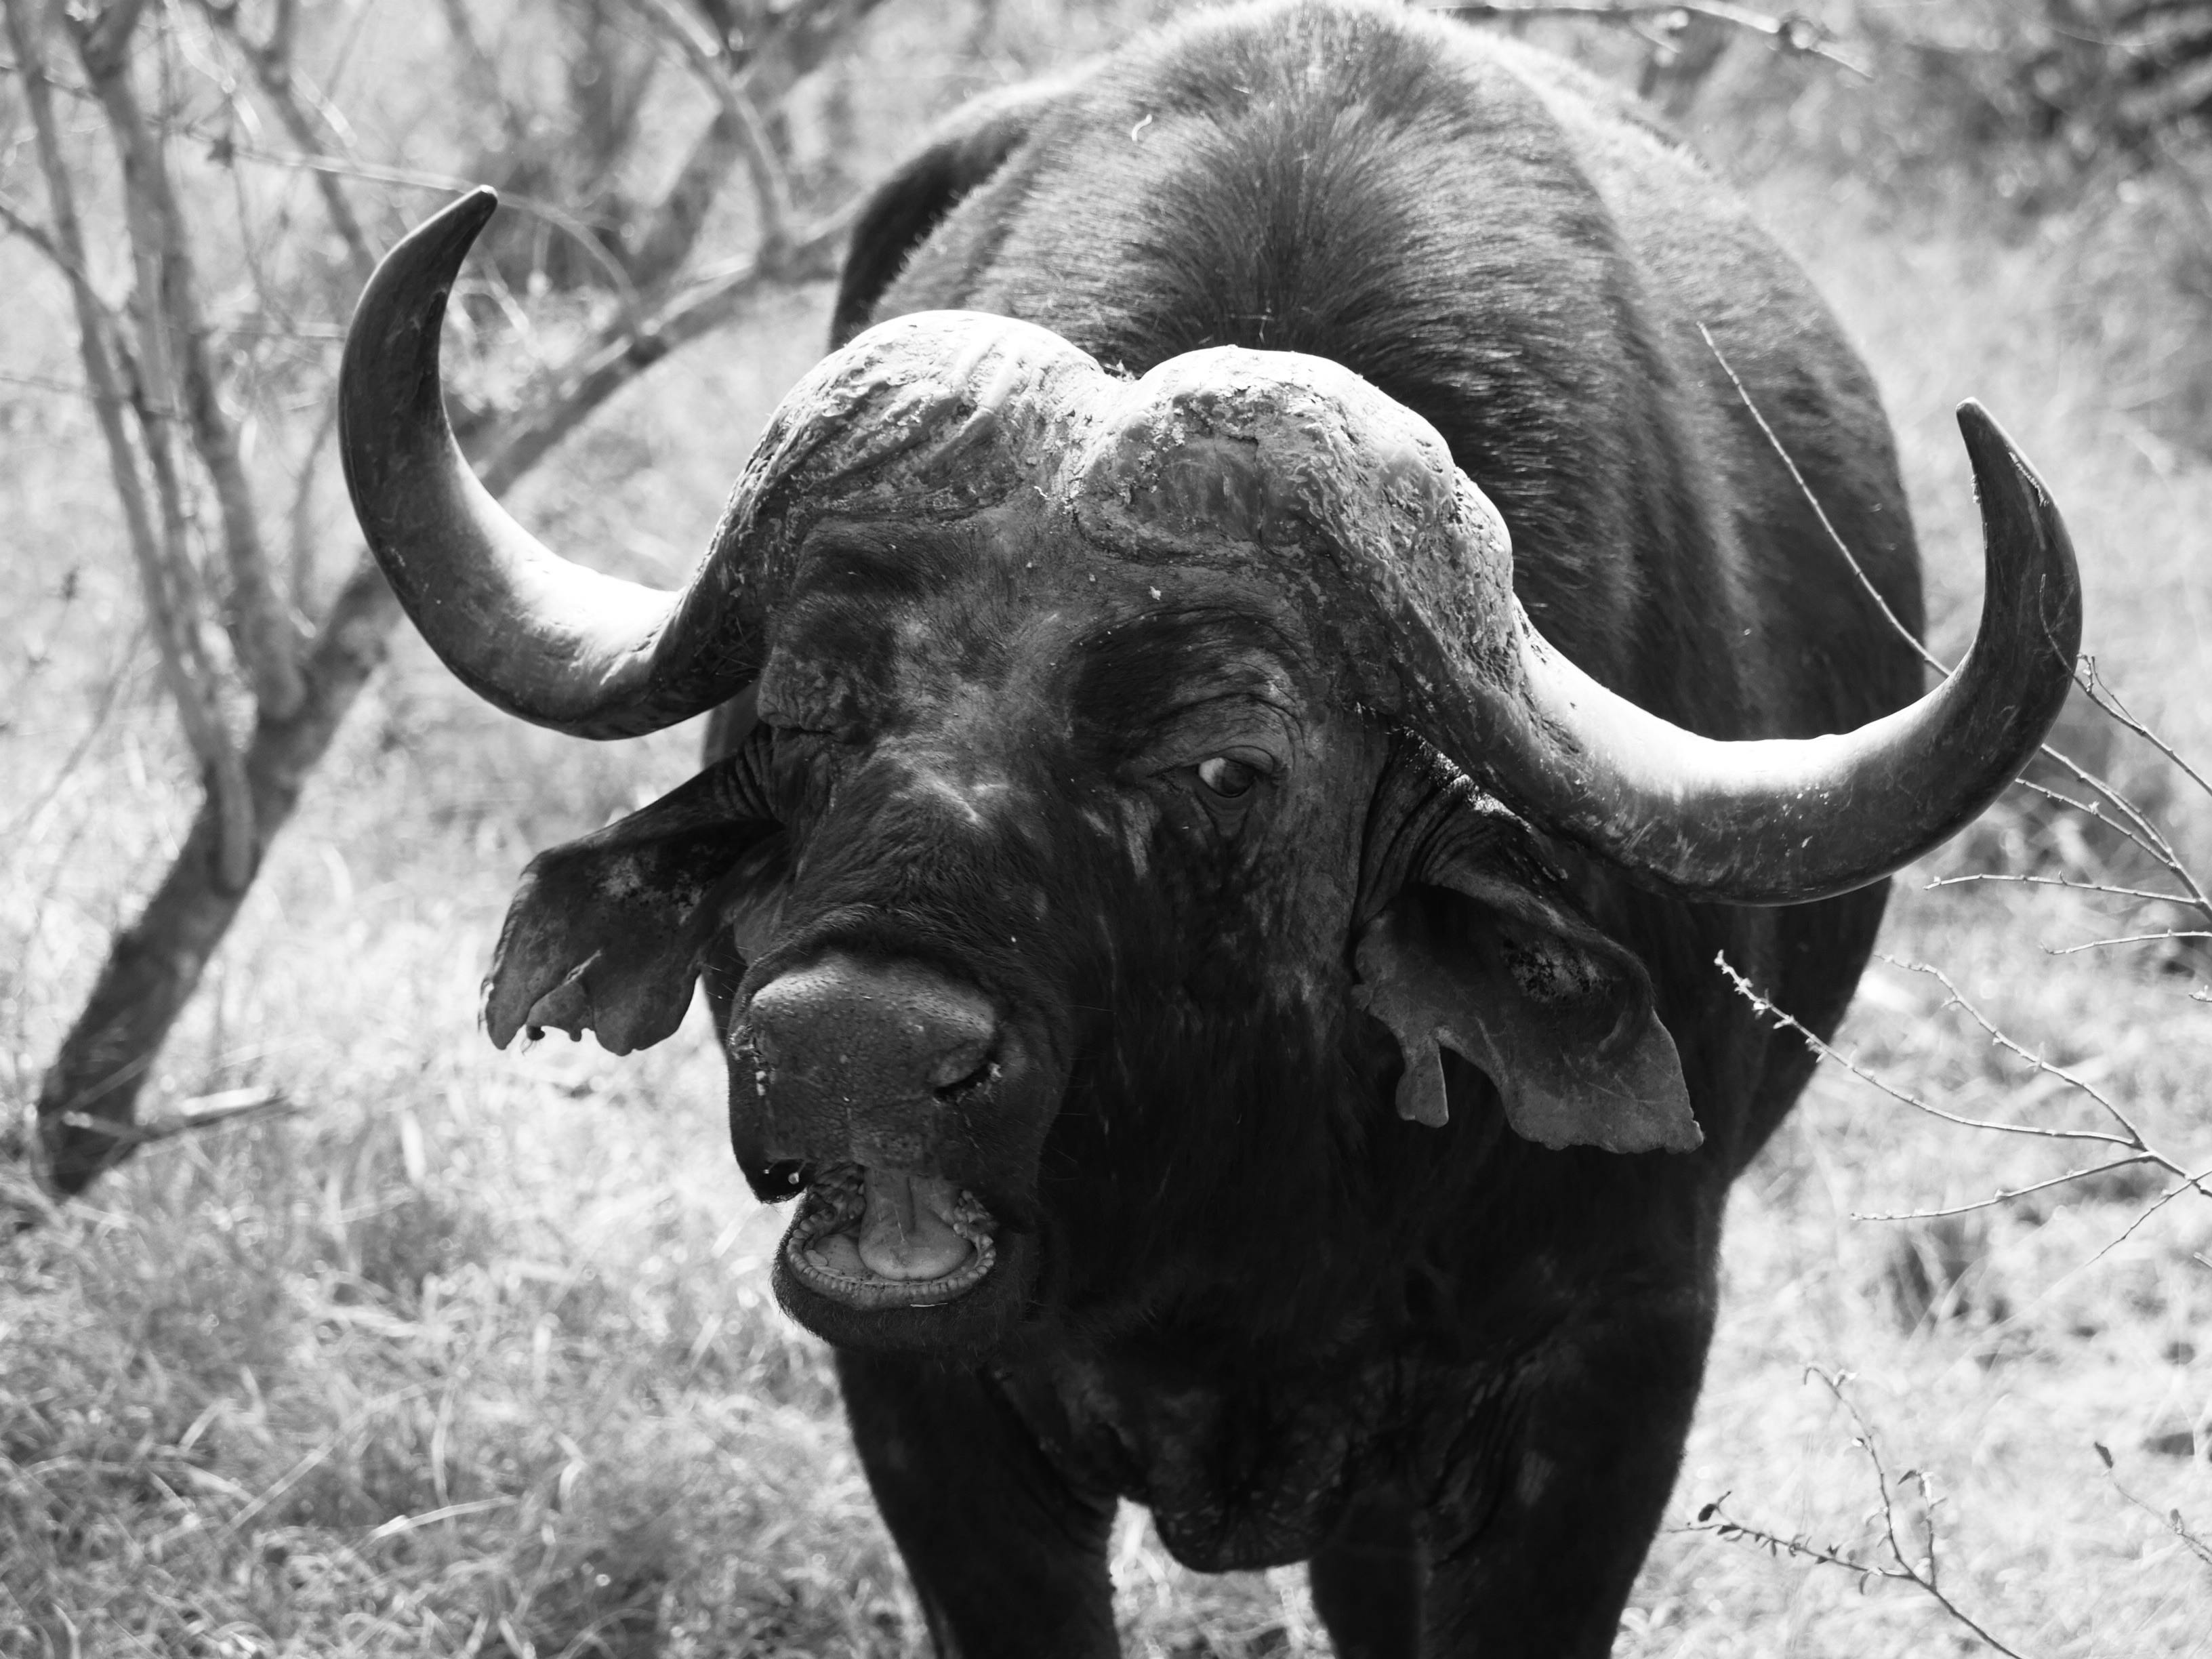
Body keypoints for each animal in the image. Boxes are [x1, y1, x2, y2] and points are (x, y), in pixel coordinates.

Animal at [338, 2, 2081, 1653]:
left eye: (1228, 764)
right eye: (803, 716)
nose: (851, 1057)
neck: (1238, 1201)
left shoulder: (1614, 1374)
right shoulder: (916, 1402)